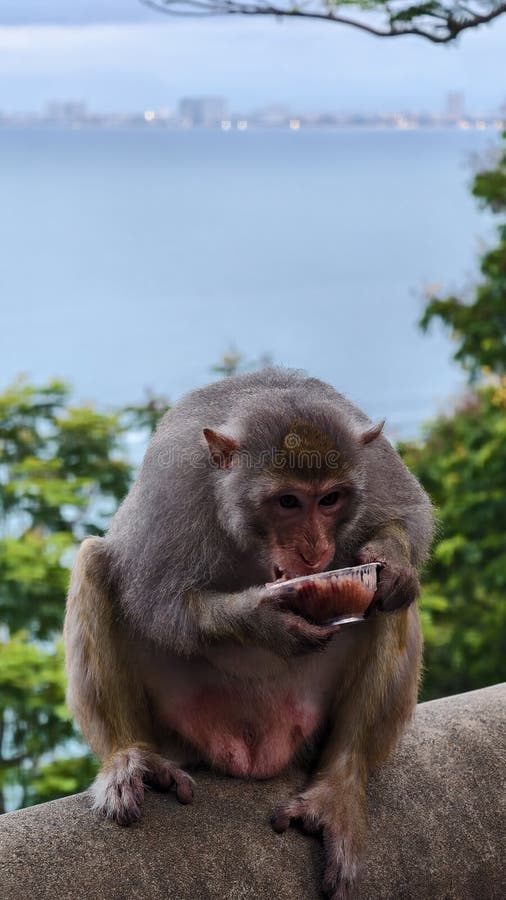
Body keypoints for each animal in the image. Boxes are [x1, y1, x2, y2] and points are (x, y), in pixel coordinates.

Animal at [64, 368, 433, 900]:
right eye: (287, 502)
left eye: (330, 499)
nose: (315, 551)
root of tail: (254, 755)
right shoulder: (174, 486)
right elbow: (151, 597)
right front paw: (264, 619)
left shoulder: (373, 458)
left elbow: (408, 519)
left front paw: (394, 561)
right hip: (181, 726)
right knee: (96, 561)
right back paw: (131, 759)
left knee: (389, 609)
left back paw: (340, 784)